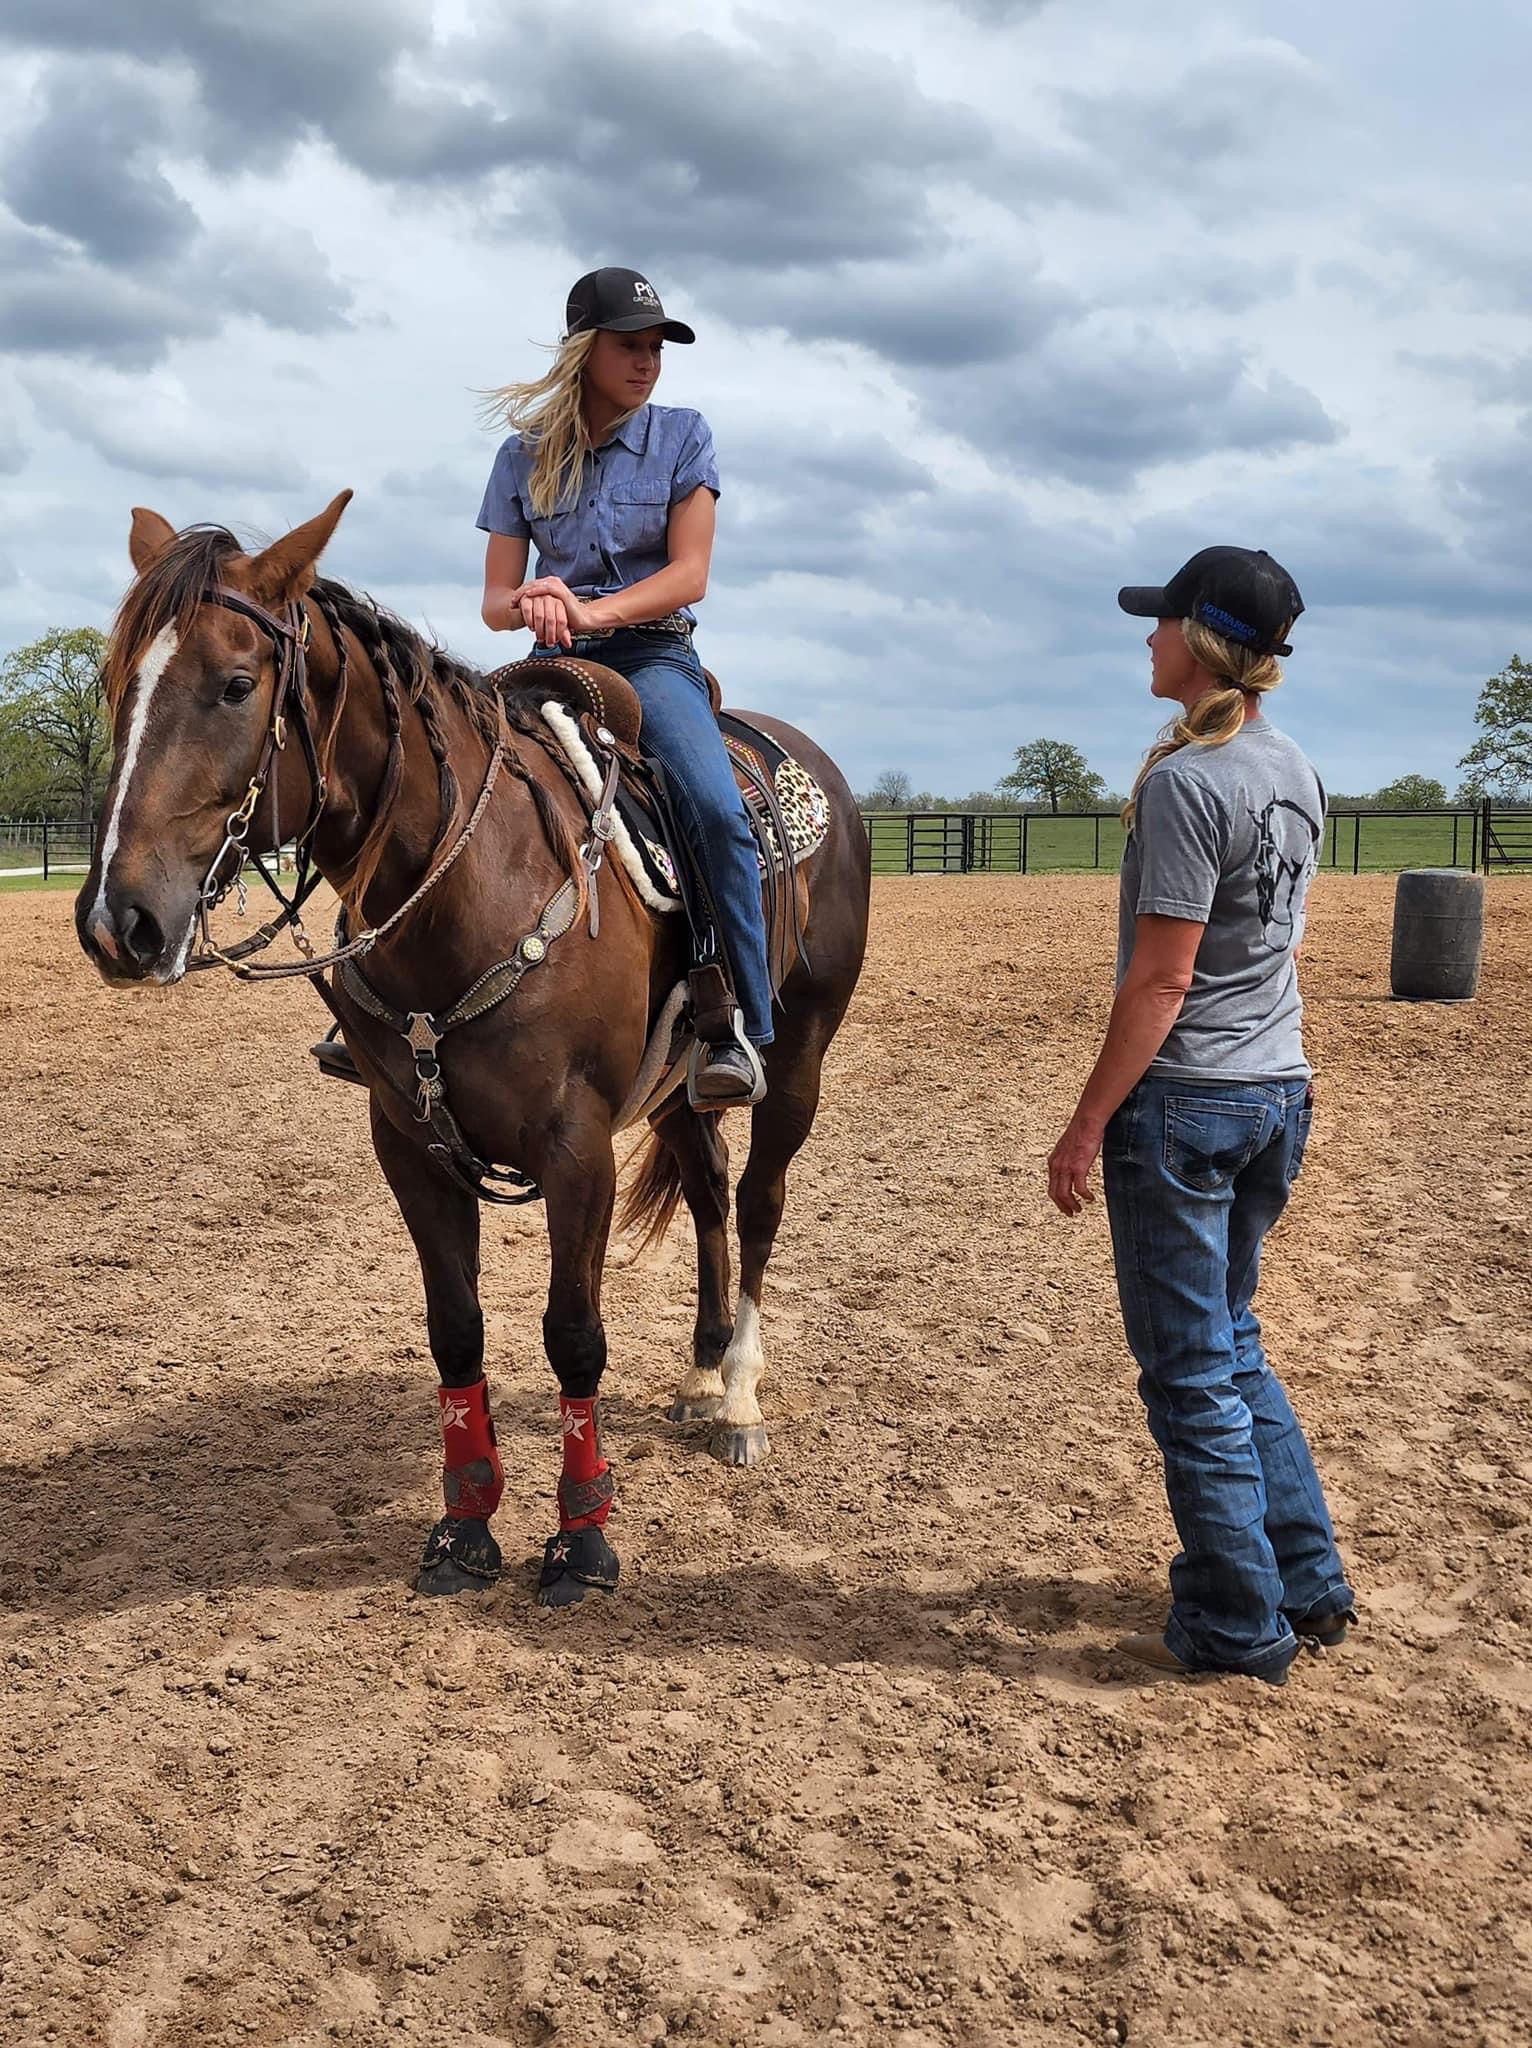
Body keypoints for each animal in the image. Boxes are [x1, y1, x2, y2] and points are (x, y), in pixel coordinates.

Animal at [75, 493, 870, 1606]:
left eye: (235, 684)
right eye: (117, 685)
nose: (119, 922)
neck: (472, 881)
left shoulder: (576, 1151)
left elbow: (573, 1335)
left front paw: (581, 1542)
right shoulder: (409, 1147)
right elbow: (456, 1329)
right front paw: (463, 1526)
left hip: (796, 1054)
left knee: (757, 1203)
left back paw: (742, 1398)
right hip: (680, 1087)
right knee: (711, 1191)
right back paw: (704, 1369)